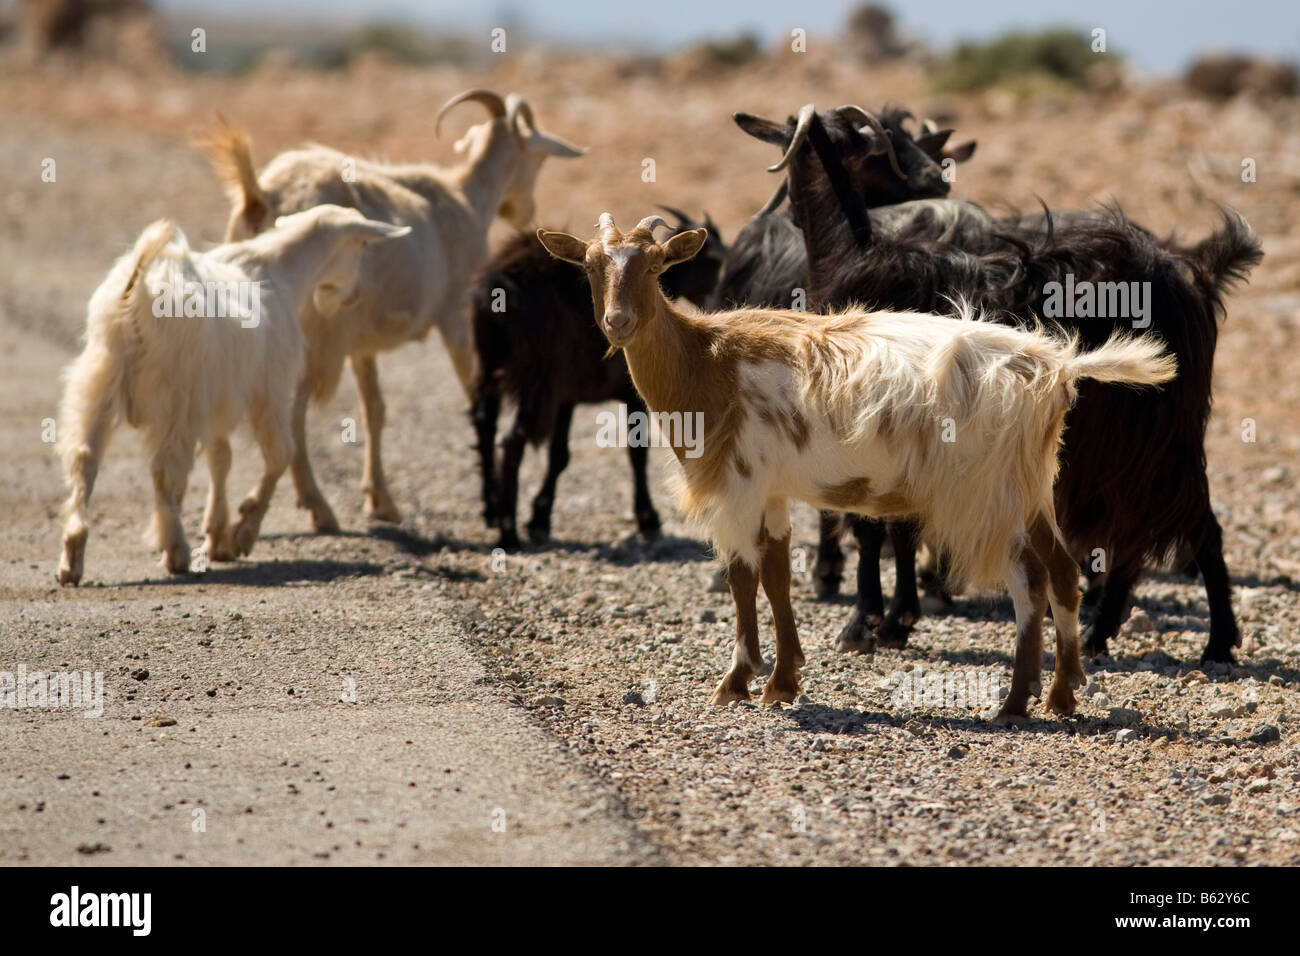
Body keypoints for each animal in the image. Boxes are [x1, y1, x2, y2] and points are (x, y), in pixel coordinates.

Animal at [56, 206, 410, 585]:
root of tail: (139, 285)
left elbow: (220, 458)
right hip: (177, 393)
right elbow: (280, 455)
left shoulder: (219, 397)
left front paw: (218, 536)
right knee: (165, 471)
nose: (355, 294)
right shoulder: (270, 388)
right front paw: (244, 531)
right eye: (362, 245)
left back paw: (72, 557)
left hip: (98, 379)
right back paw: (176, 550)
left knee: (85, 458)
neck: (279, 272)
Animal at [200, 90, 586, 532]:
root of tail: (260, 194)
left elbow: (375, 411)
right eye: (537, 158)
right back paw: (311, 506)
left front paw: (381, 500)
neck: (467, 197)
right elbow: (472, 393)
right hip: (316, 331)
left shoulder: (361, 341)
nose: (524, 212)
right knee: (293, 414)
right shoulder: (456, 316)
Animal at [470, 207, 725, 549]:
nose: (717, 298)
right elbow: (637, 451)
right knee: (512, 440)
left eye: (653, 265)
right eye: (713, 260)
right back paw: (508, 533)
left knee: (483, 422)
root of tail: (499, 286)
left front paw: (540, 519)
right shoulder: (626, 393)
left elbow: (559, 455)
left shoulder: (567, 394)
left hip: (489, 364)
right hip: (536, 379)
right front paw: (648, 520)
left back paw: (491, 510)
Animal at [538, 213, 1175, 717]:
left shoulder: (740, 485)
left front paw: (737, 681)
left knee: (1030, 581)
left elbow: (742, 578)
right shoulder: (772, 490)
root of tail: (1058, 369)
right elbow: (776, 576)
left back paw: (1017, 703)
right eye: (590, 266)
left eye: (655, 268)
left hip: (991, 492)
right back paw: (1059, 696)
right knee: (1062, 573)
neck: (707, 362)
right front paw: (783, 681)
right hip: (1031, 486)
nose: (618, 323)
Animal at [769, 103, 1261, 663]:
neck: (848, 252)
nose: (788, 216)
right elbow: (899, 523)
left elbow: (875, 526)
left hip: (1154, 435)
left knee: (1191, 527)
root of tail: (1193, 276)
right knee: (1139, 531)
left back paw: (1213, 642)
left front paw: (864, 624)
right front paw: (896, 620)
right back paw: (1102, 633)